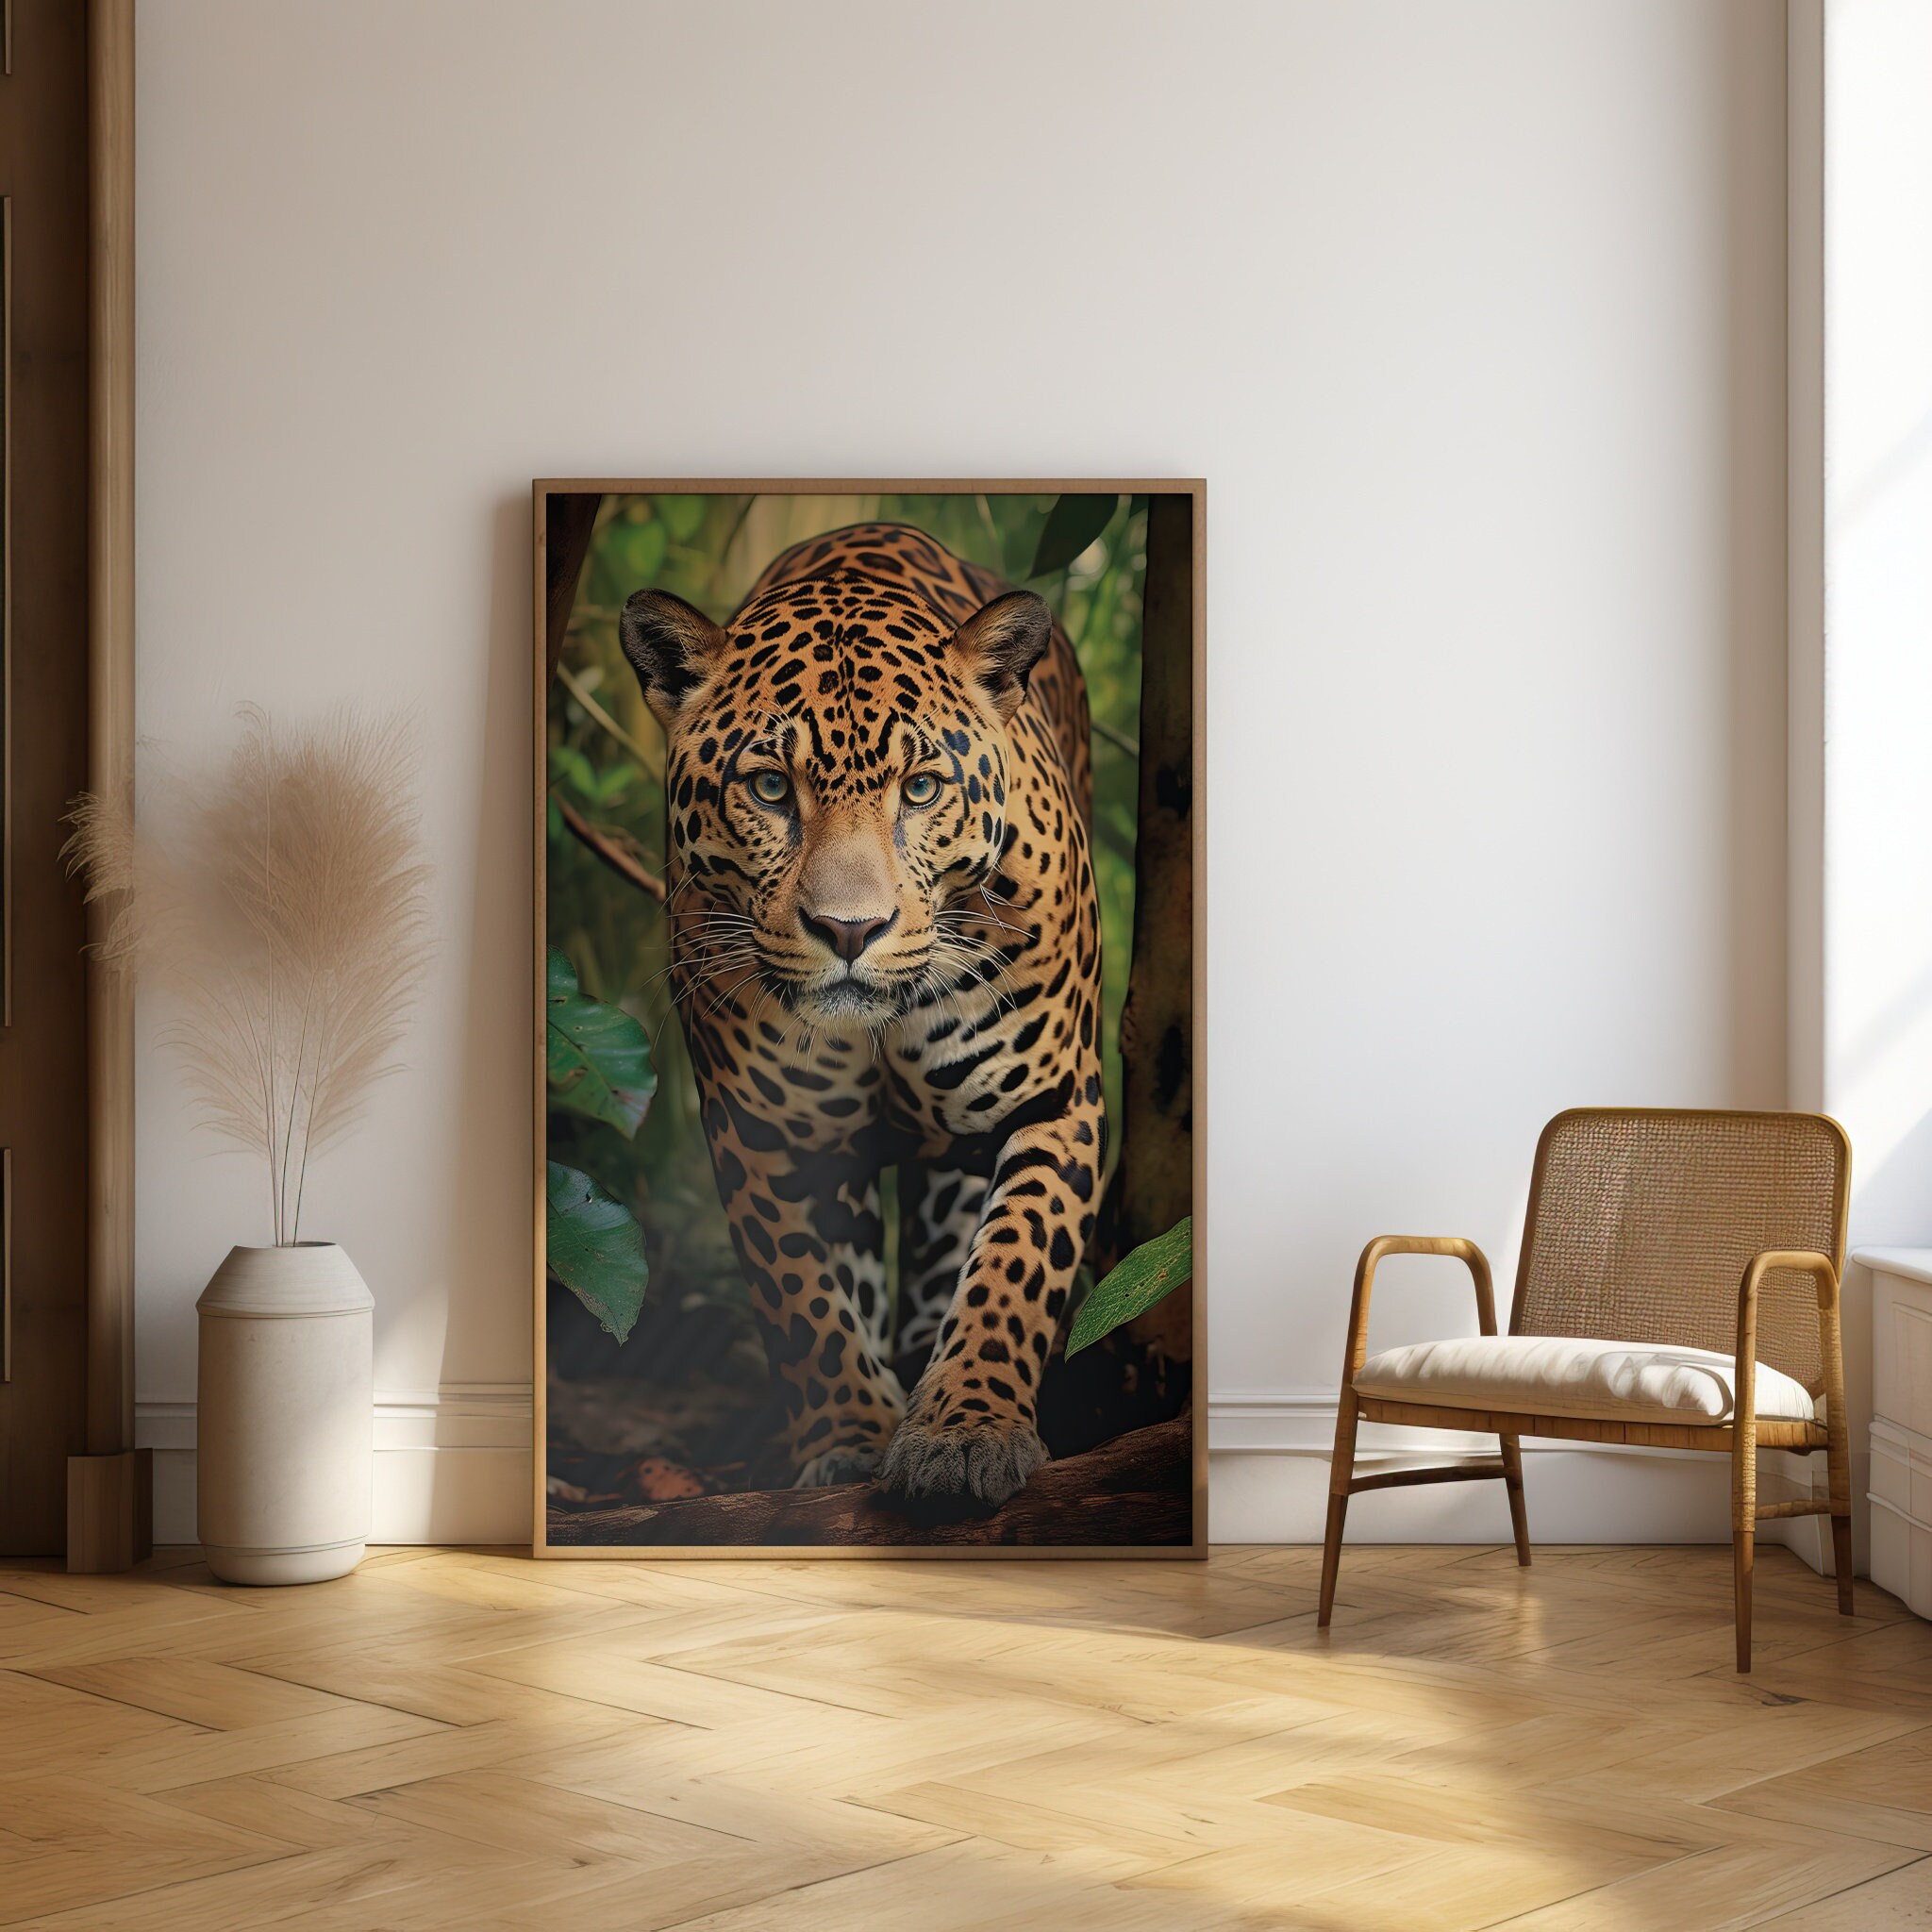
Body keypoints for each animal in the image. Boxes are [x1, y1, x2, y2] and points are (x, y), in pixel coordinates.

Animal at [617, 520, 1106, 1511]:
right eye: (770, 788)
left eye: (920, 788)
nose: (850, 929)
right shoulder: (764, 1131)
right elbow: (805, 1301)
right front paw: (848, 1438)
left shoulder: (1053, 1102)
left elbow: (1014, 1265)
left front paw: (965, 1430)